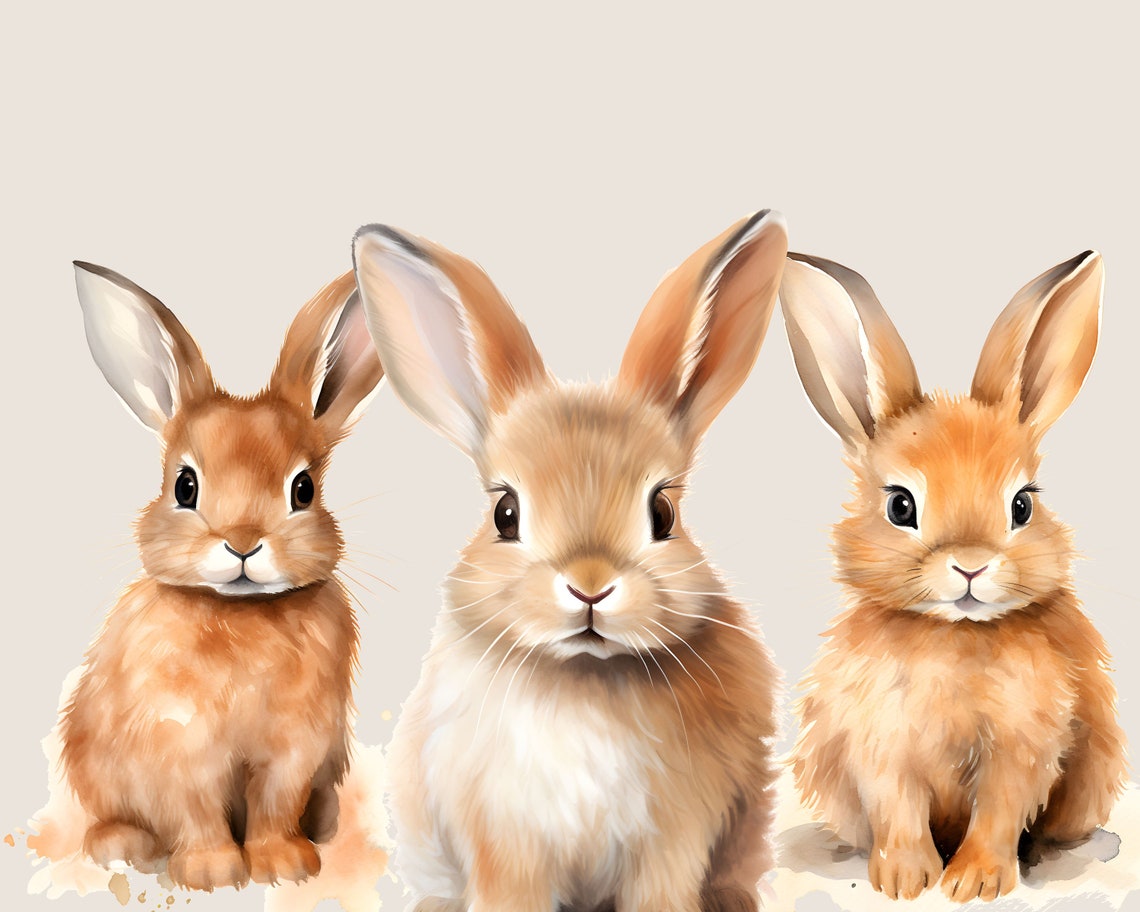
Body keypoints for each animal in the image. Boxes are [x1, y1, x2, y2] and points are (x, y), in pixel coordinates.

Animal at [60, 263, 384, 891]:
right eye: (185, 486)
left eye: (303, 489)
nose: (242, 543)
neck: (241, 614)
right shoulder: (178, 748)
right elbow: (196, 810)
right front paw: (212, 873)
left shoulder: (295, 749)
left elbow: (274, 805)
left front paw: (284, 867)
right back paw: (126, 847)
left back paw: (323, 826)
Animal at [352, 211, 787, 912]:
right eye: (505, 514)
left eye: (663, 514)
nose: (589, 588)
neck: (584, 677)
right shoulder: (505, 842)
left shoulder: (675, 838)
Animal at [779, 250, 1128, 902]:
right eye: (900, 506)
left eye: (1022, 505)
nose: (970, 564)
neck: (953, 634)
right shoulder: (880, 746)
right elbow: (898, 811)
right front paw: (903, 881)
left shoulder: (1020, 748)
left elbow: (998, 811)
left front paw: (975, 882)